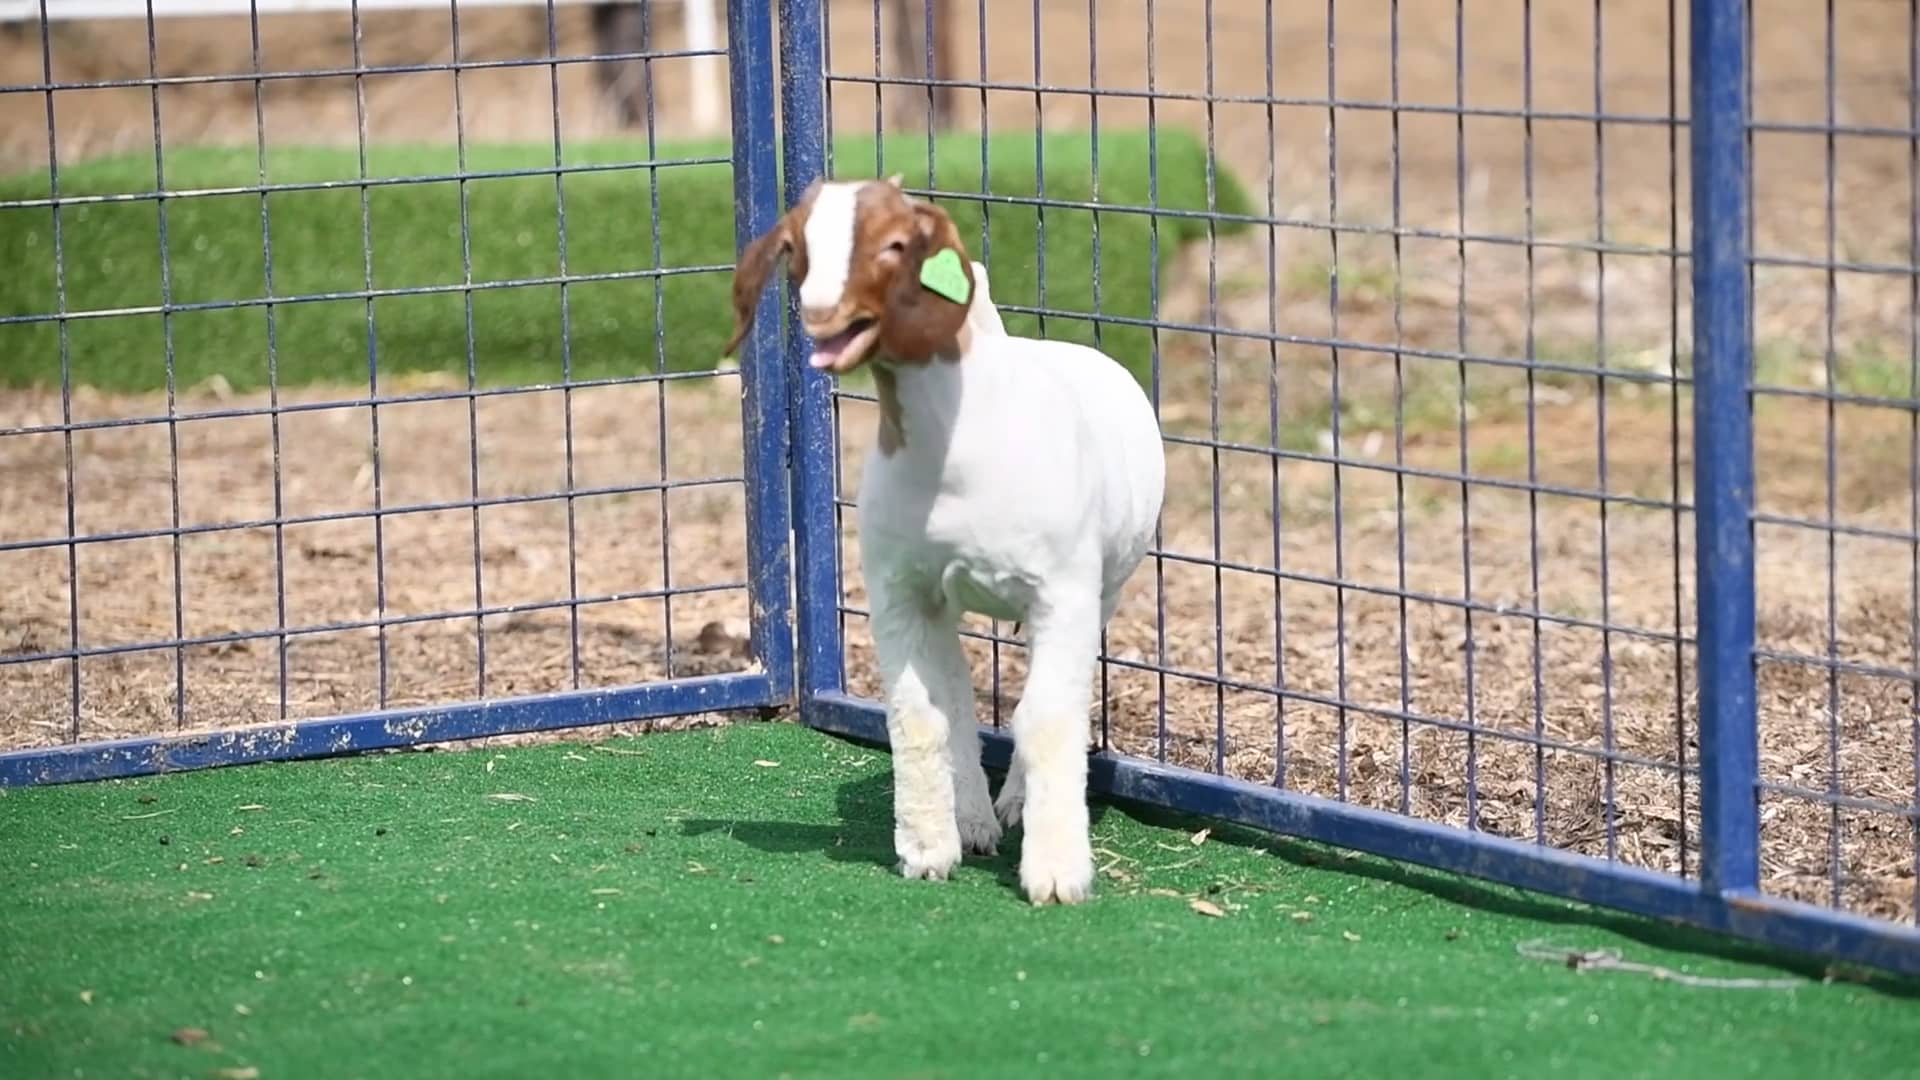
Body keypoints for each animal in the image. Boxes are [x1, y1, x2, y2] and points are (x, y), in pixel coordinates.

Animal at [722, 176, 1165, 905]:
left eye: (898, 244)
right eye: (798, 247)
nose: (821, 313)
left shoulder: (1063, 593)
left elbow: (1047, 718)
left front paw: (1056, 872)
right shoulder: (901, 592)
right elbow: (922, 716)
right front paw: (929, 848)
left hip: (1103, 590)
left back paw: (1012, 806)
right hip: (946, 603)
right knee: (958, 695)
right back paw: (976, 818)